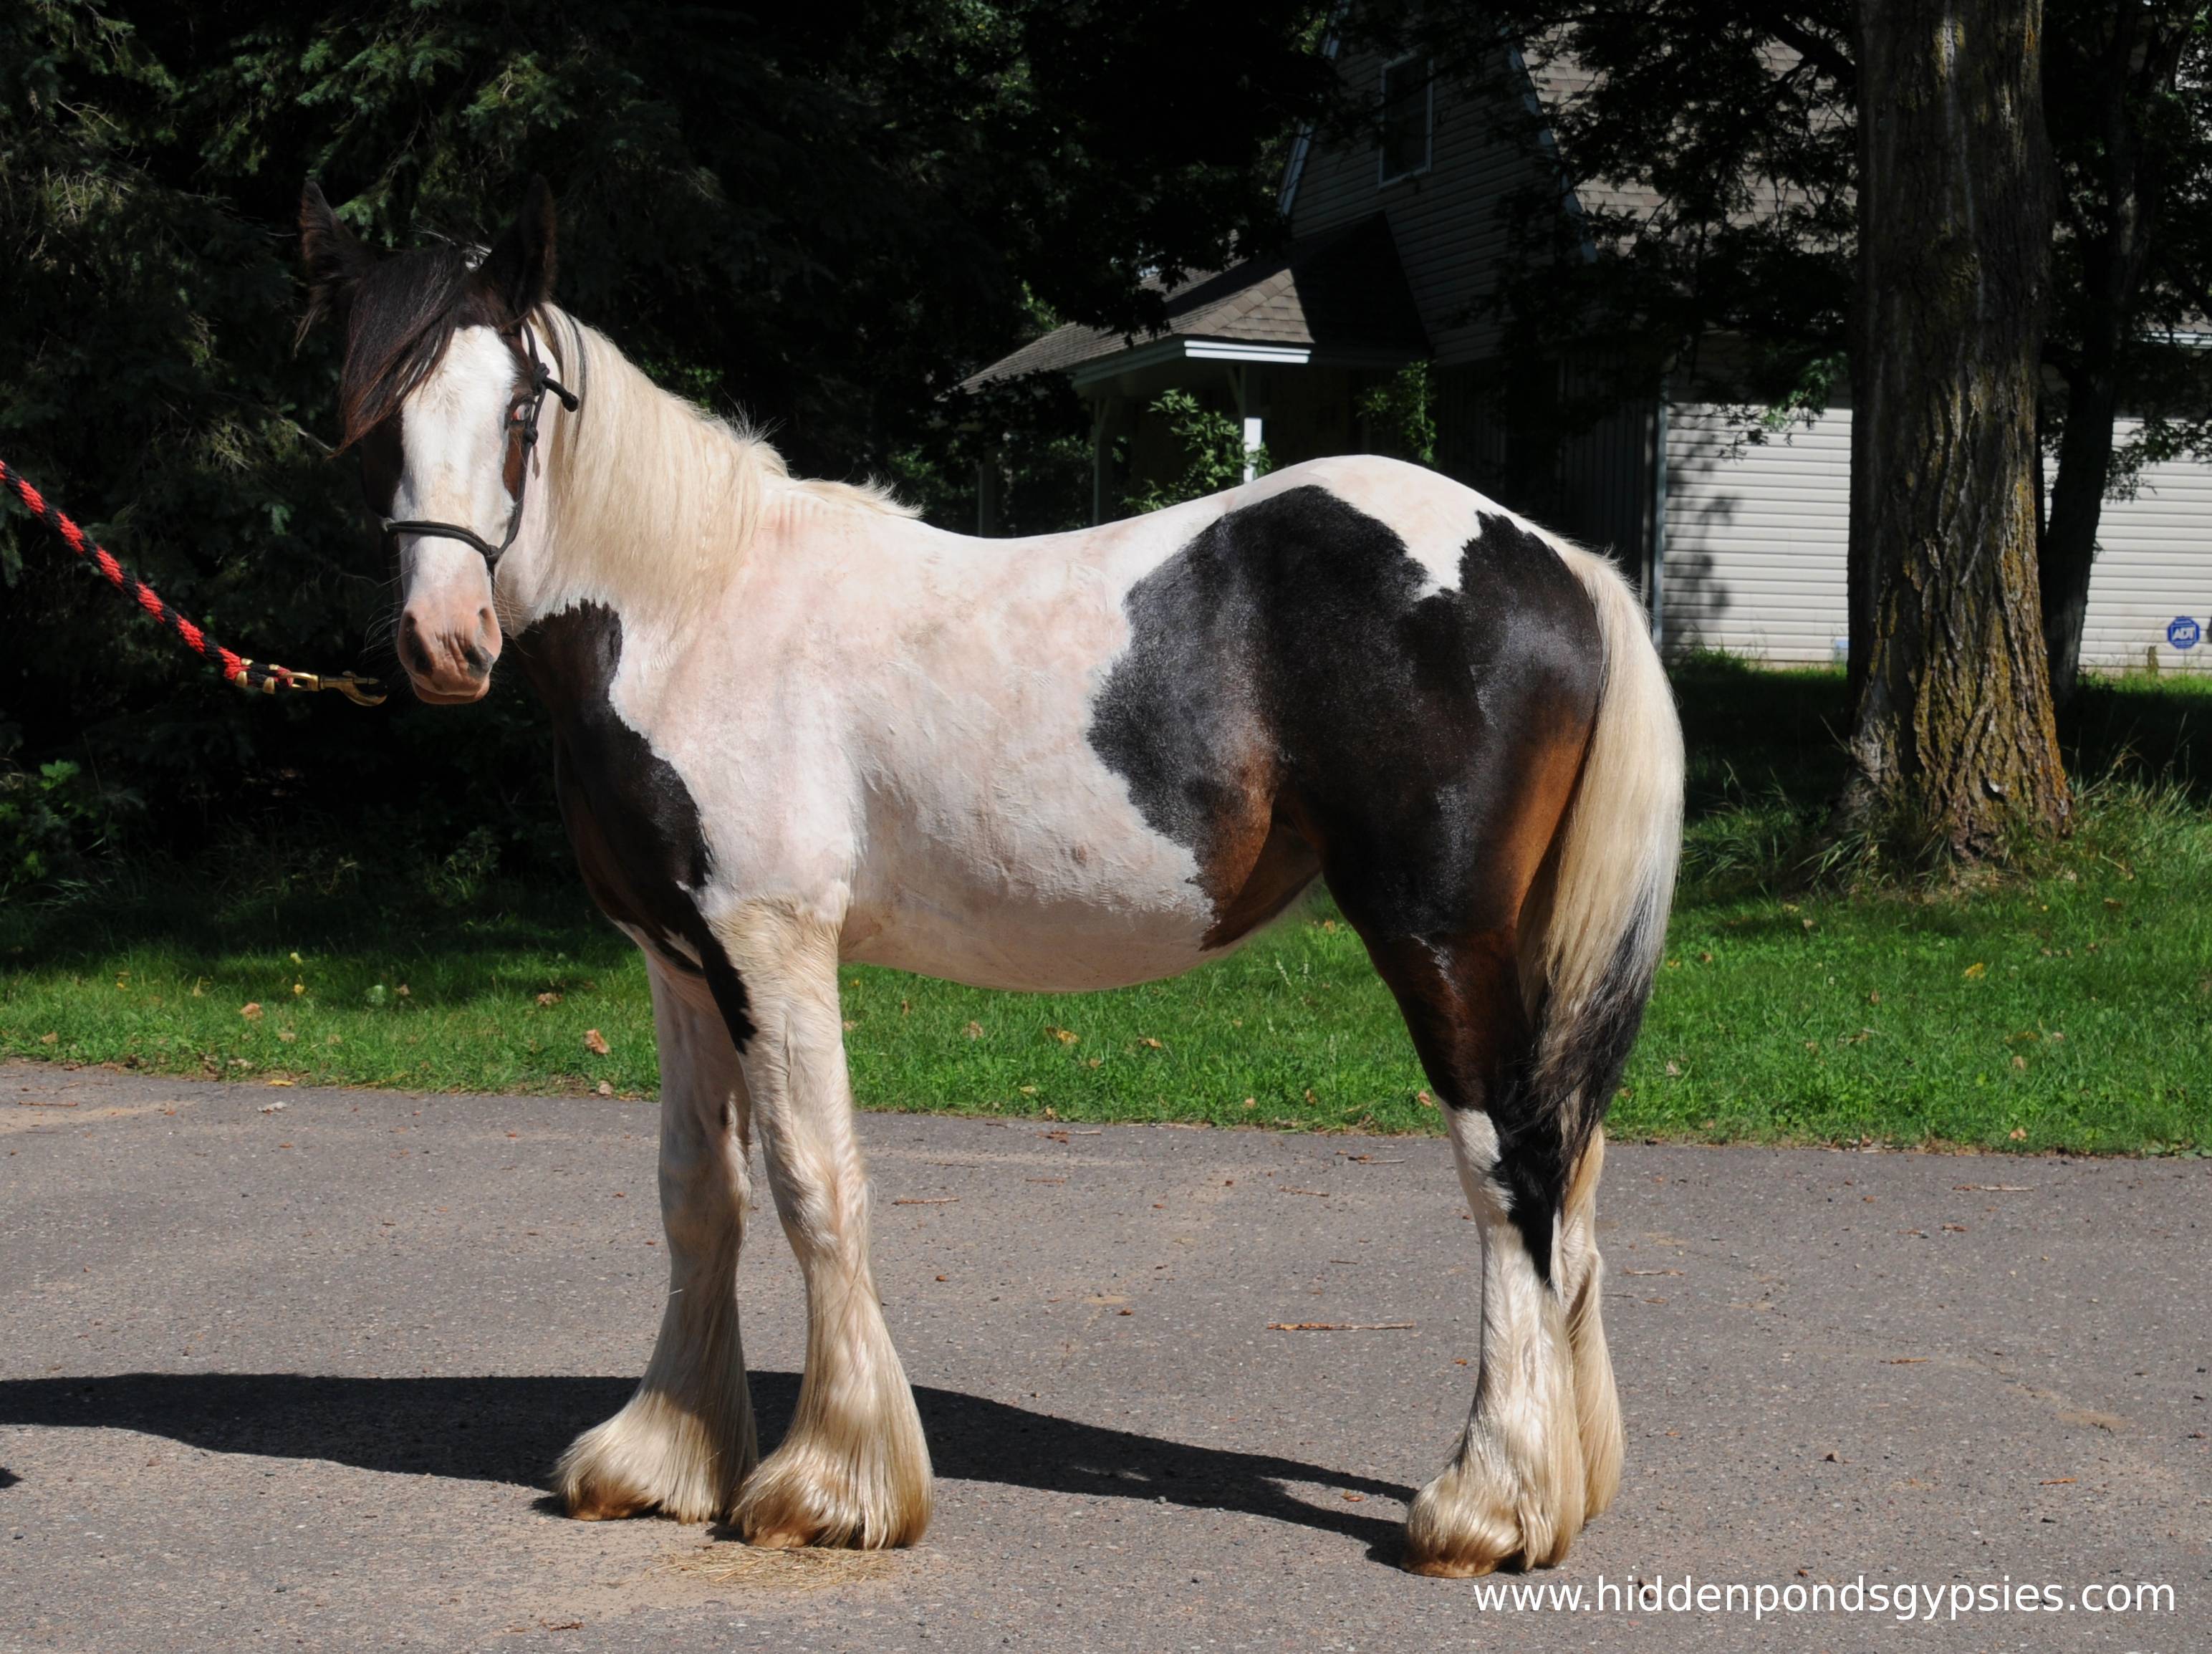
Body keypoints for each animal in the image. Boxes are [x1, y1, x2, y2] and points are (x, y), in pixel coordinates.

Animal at [297, 176, 1683, 1578]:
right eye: (369, 412)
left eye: (519, 408)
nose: (446, 640)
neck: (691, 606)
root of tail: (1552, 558)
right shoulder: (678, 965)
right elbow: (699, 1194)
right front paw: (661, 1458)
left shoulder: (771, 946)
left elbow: (814, 1185)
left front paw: (831, 1485)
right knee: (1569, 1173)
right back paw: (1558, 1482)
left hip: (1438, 937)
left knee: (1511, 1173)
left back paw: (1486, 1503)